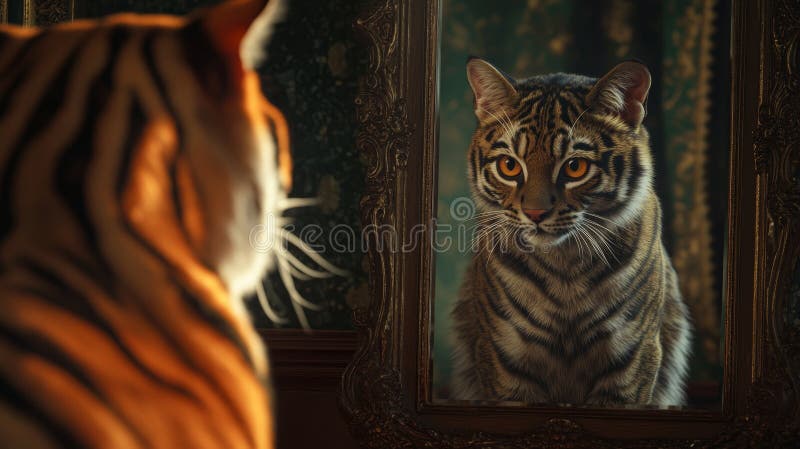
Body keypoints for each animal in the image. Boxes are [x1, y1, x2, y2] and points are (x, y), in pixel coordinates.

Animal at [450, 58, 692, 407]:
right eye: (509, 166)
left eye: (575, 167)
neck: (563, 264)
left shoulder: (631, 357)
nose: (535, 214)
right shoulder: (504, 358)